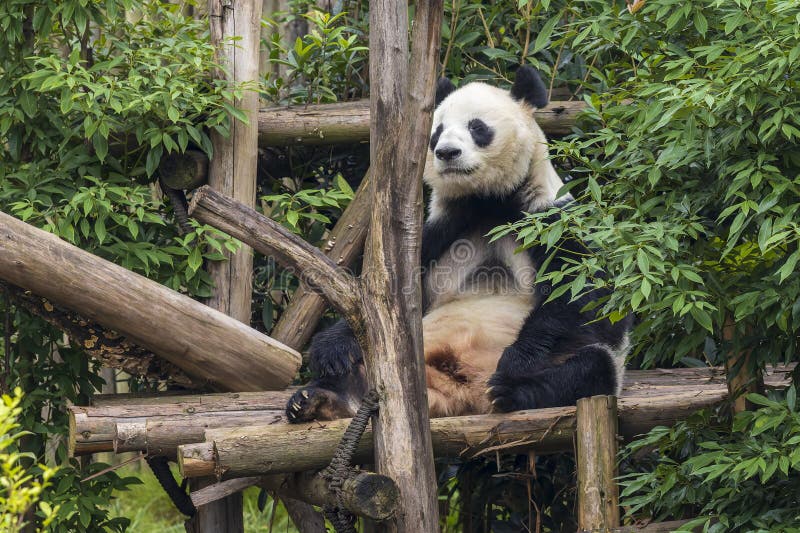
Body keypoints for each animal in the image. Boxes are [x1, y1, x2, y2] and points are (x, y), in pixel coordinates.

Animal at [285, 66, 631, 422]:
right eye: (437, 132)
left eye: (477, 127)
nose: (447, 152)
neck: (489, 199)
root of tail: (467, 395)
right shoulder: (439, 231)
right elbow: (381, 300)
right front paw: (331, 348)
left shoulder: (549, 222)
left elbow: (585, 299)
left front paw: (516, 361)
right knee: (365, 371)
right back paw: (319, 399)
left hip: (590, 366)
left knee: (589, 368)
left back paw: (511, 392)